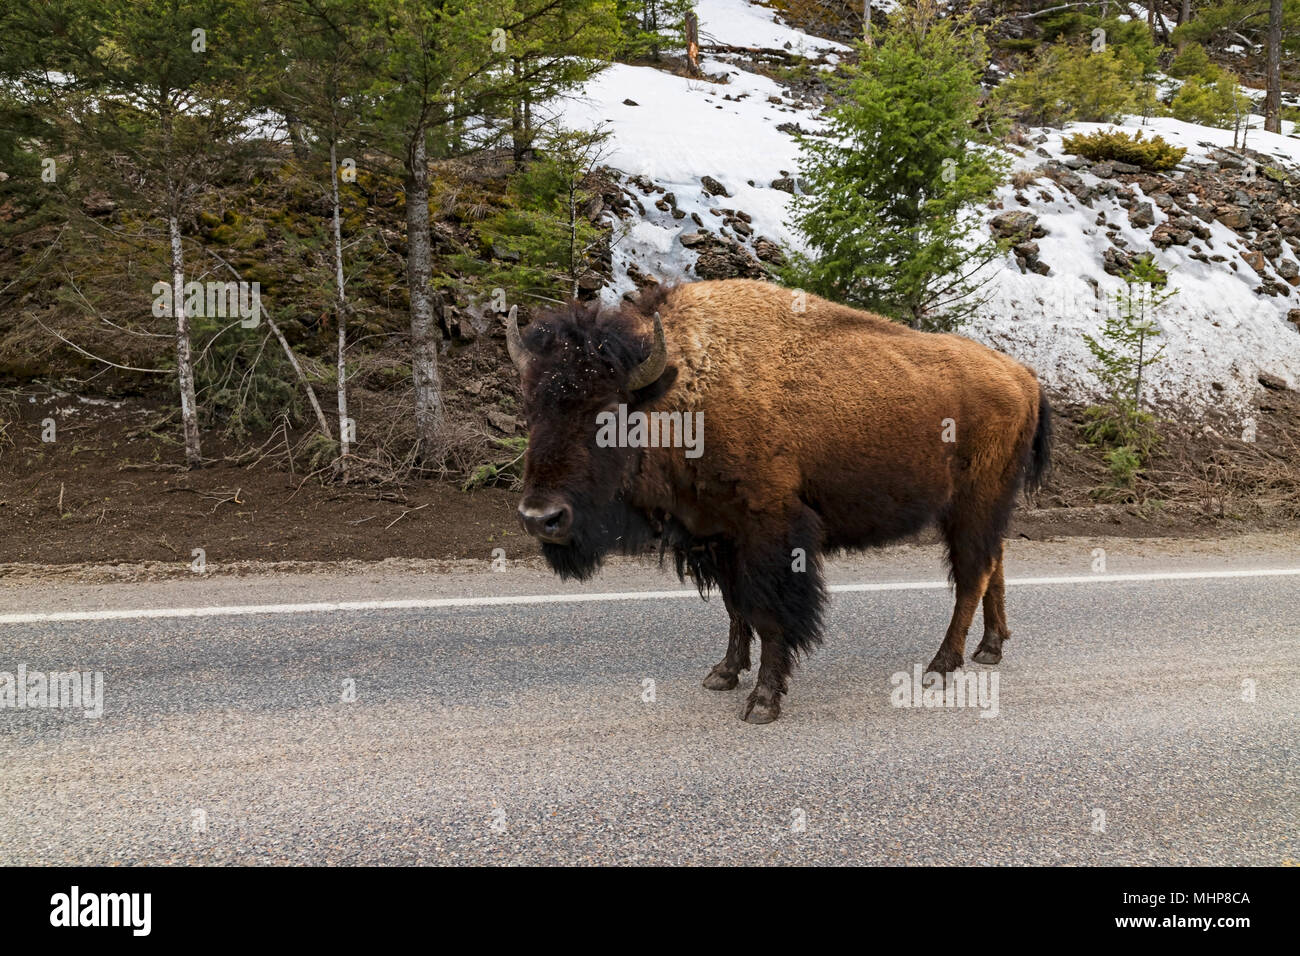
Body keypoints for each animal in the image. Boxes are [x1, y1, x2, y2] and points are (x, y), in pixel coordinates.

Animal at [506, 279, 1050, 723]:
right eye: (531, 406)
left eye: (608, 413)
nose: (540, 518)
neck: (685, 389)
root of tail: (1024, 374)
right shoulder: (716, 534)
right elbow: (735, 608)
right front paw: (724, 673)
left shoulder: (769, 528)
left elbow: (768, 614)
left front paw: (763, 701)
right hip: (984, 506)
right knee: (994, 563)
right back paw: (990, 648)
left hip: (973, 502)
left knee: (971, 575)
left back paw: (941, 666)